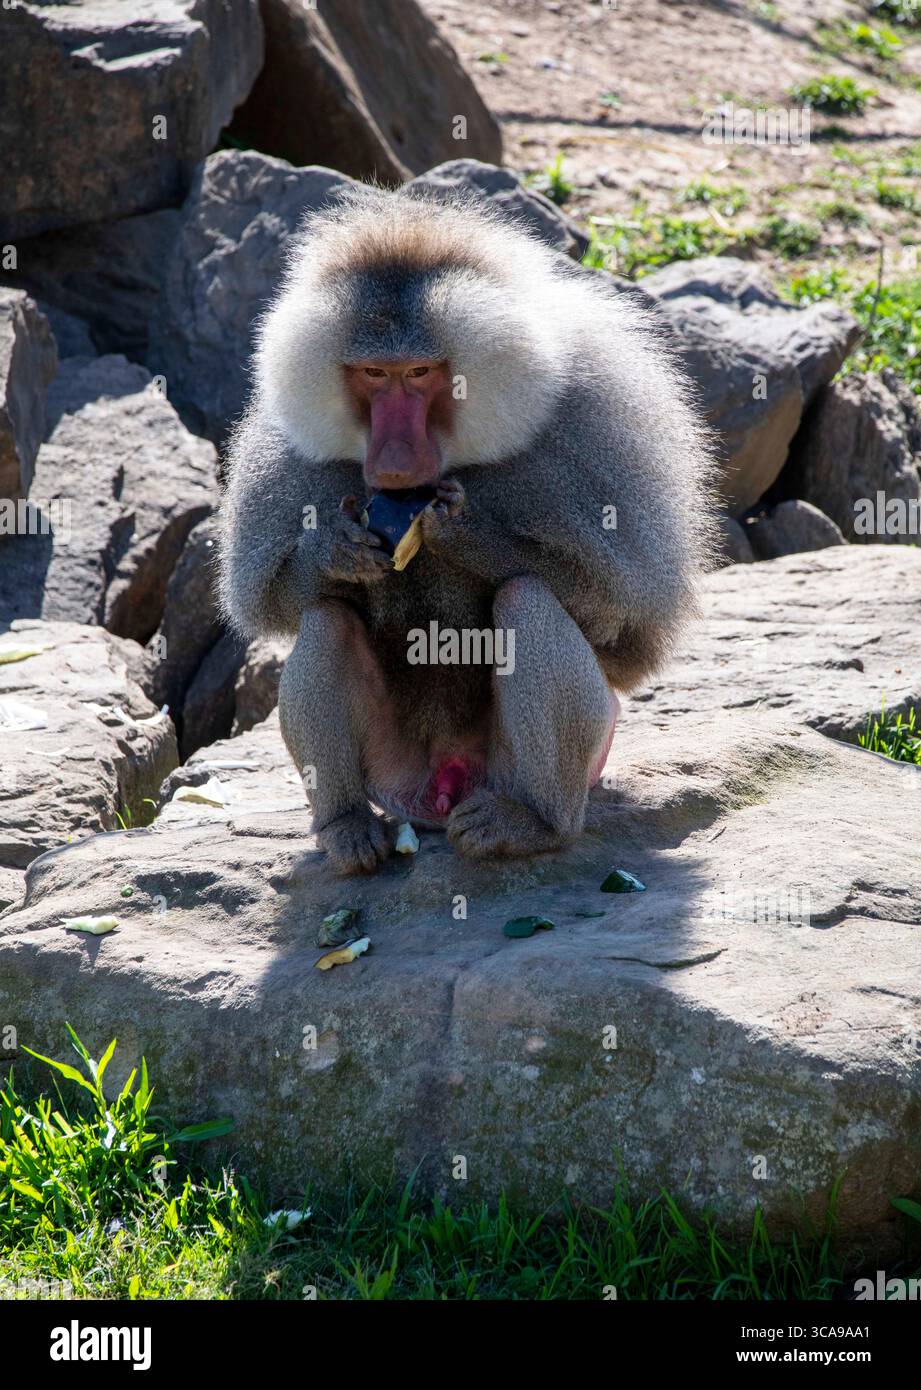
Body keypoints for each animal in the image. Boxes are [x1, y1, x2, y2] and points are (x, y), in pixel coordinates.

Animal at [218, 186, 717, 875]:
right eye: (373, 374)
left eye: (420, 372)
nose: (393, 463)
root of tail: (442, 789)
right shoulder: (282, 453)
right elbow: (270, 604)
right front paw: (333, 550)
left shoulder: (597, 425)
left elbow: (626, 616)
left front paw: (469, 537)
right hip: (395, 772)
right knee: (327, 620)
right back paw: (347, 829)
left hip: (536, 767)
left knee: (526, 598)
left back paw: (530, 824)